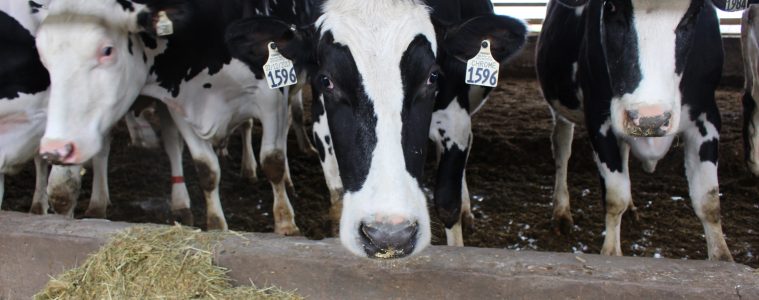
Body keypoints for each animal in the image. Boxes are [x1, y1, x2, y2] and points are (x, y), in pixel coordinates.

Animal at [227, 0, 528, 258]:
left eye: (432, 76)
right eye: (326, 80)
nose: (390, 236)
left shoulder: (456, 119)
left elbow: (447, 201)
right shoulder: (321, 123)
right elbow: (337, 198)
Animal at [536, 0, 752, 260]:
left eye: (692, 16)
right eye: (611, 9)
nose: (650, 119)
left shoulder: (706, 115)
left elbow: (708, 200)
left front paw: (723, 259)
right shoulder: (598, 118)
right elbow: (615, 196)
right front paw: (611, 253)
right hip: (561, 105)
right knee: (562, 149)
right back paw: (561, 212)